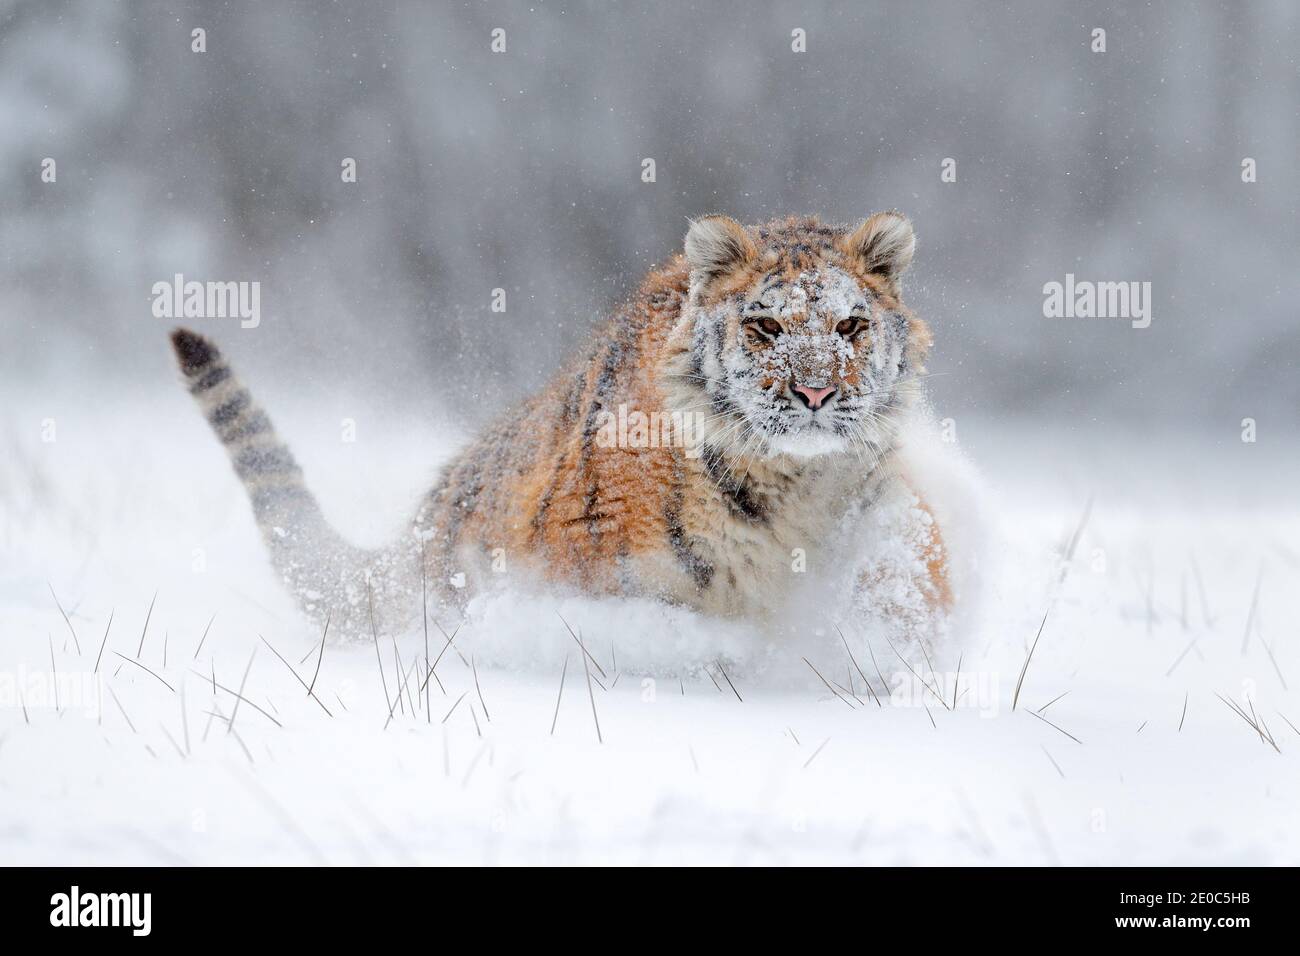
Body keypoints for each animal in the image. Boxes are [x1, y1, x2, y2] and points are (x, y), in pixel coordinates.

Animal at [170, 212, 950, 641]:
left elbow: (903, 580)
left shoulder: (879, 515)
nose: (816, 391)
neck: (792, 484)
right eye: (765, 327)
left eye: (850, 325)